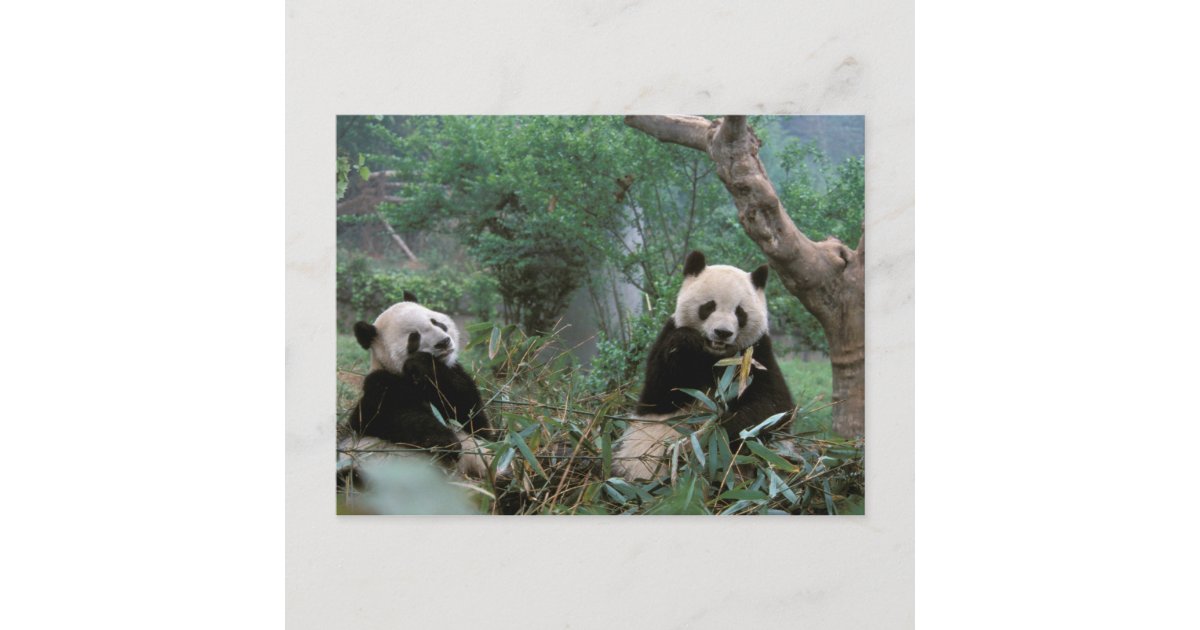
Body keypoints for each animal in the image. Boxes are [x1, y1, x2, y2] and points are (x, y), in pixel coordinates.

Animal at [338, 292, 495, 485]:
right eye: (414, 337)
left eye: (436, 322)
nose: (444, 342)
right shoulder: (379, 386)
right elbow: (391, 416)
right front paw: (447, 442)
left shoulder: (453, 374)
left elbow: (474, 419)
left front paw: (424, 363)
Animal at [614, 250, 794, 481]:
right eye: (709, 306)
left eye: (740, 312)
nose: (722, 332)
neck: (715, 355)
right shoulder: (668, 337)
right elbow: (660, 393)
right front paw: (686, 341)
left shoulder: (755, 354)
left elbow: (774, 407)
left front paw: (719, 426)